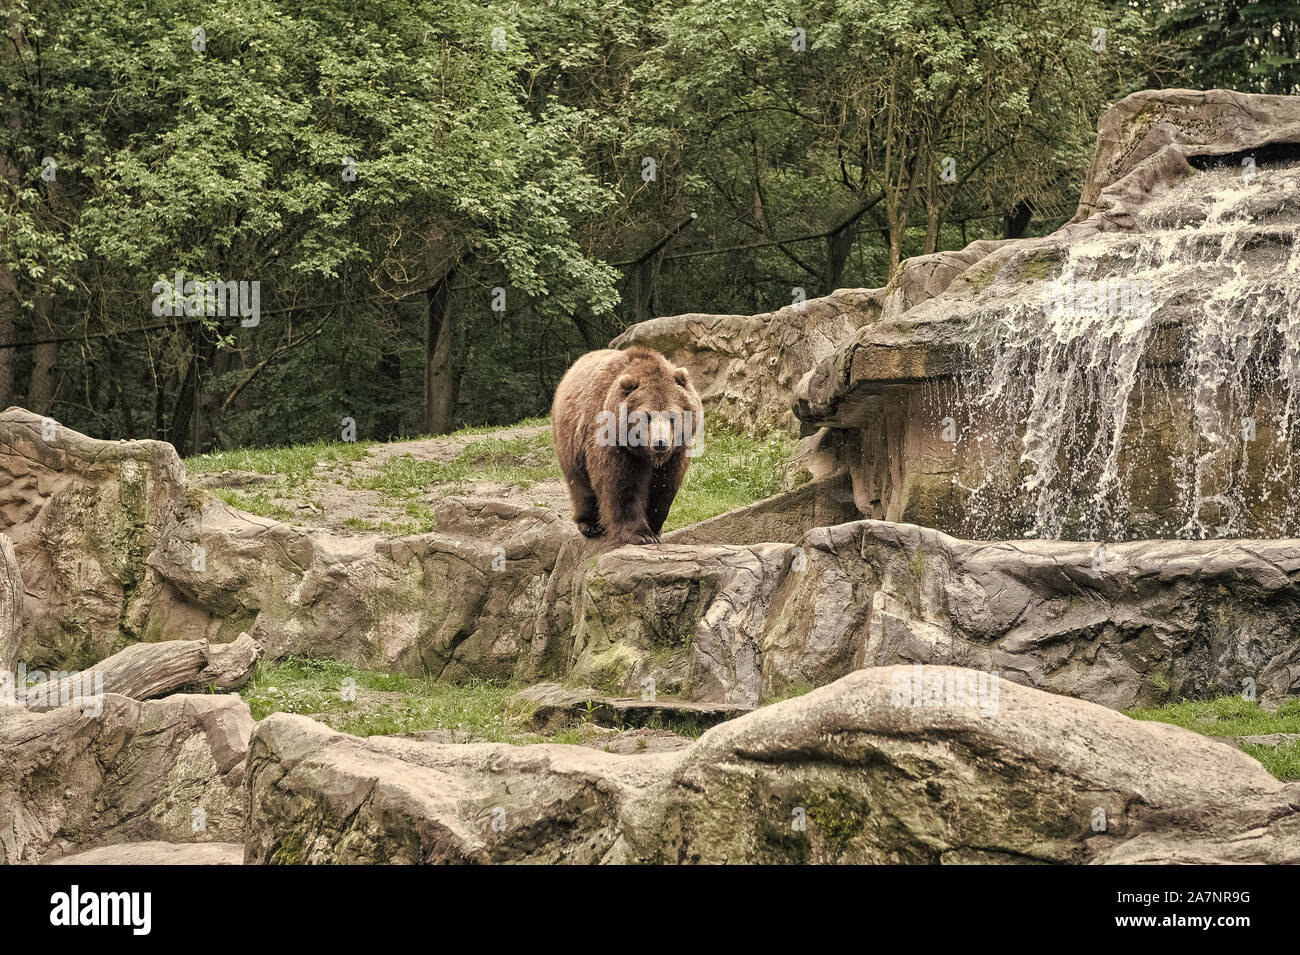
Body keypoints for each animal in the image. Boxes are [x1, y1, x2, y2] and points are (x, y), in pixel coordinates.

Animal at [552, 346, 703, 545]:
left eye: (672, 415)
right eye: (647, 416)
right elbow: (621, 485)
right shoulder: (613, 444)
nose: (660, 442)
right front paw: (641, 534)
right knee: (579, 484)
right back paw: (590, 524)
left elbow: (664, 487)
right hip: (571, 441)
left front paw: (655, 528)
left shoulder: (675, 453)